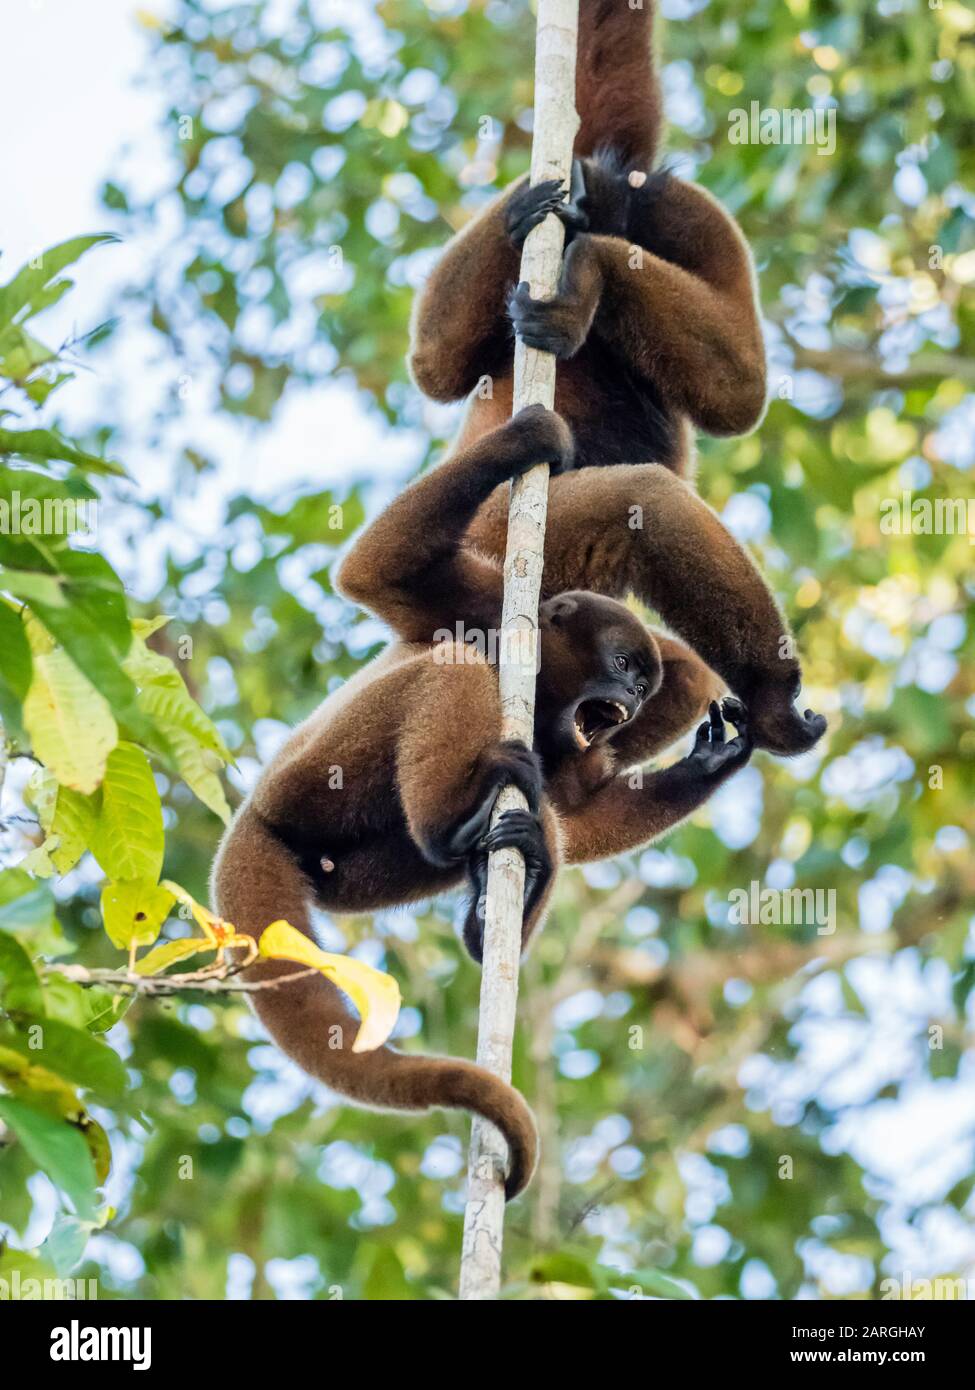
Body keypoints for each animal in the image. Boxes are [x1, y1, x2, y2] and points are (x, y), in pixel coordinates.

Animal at [213, 405, 766, 1201]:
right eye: (622, 664)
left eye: (639, 683)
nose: (630, 702)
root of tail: (252, 820)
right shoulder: (487, 607)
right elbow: (376, 575)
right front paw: (526, 439)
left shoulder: (572, 745)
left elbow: (577, 807)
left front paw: (711, 759)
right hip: (312, 782)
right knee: (455, 664)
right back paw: (456, 825)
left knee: (530, 818)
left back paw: (490, 900)